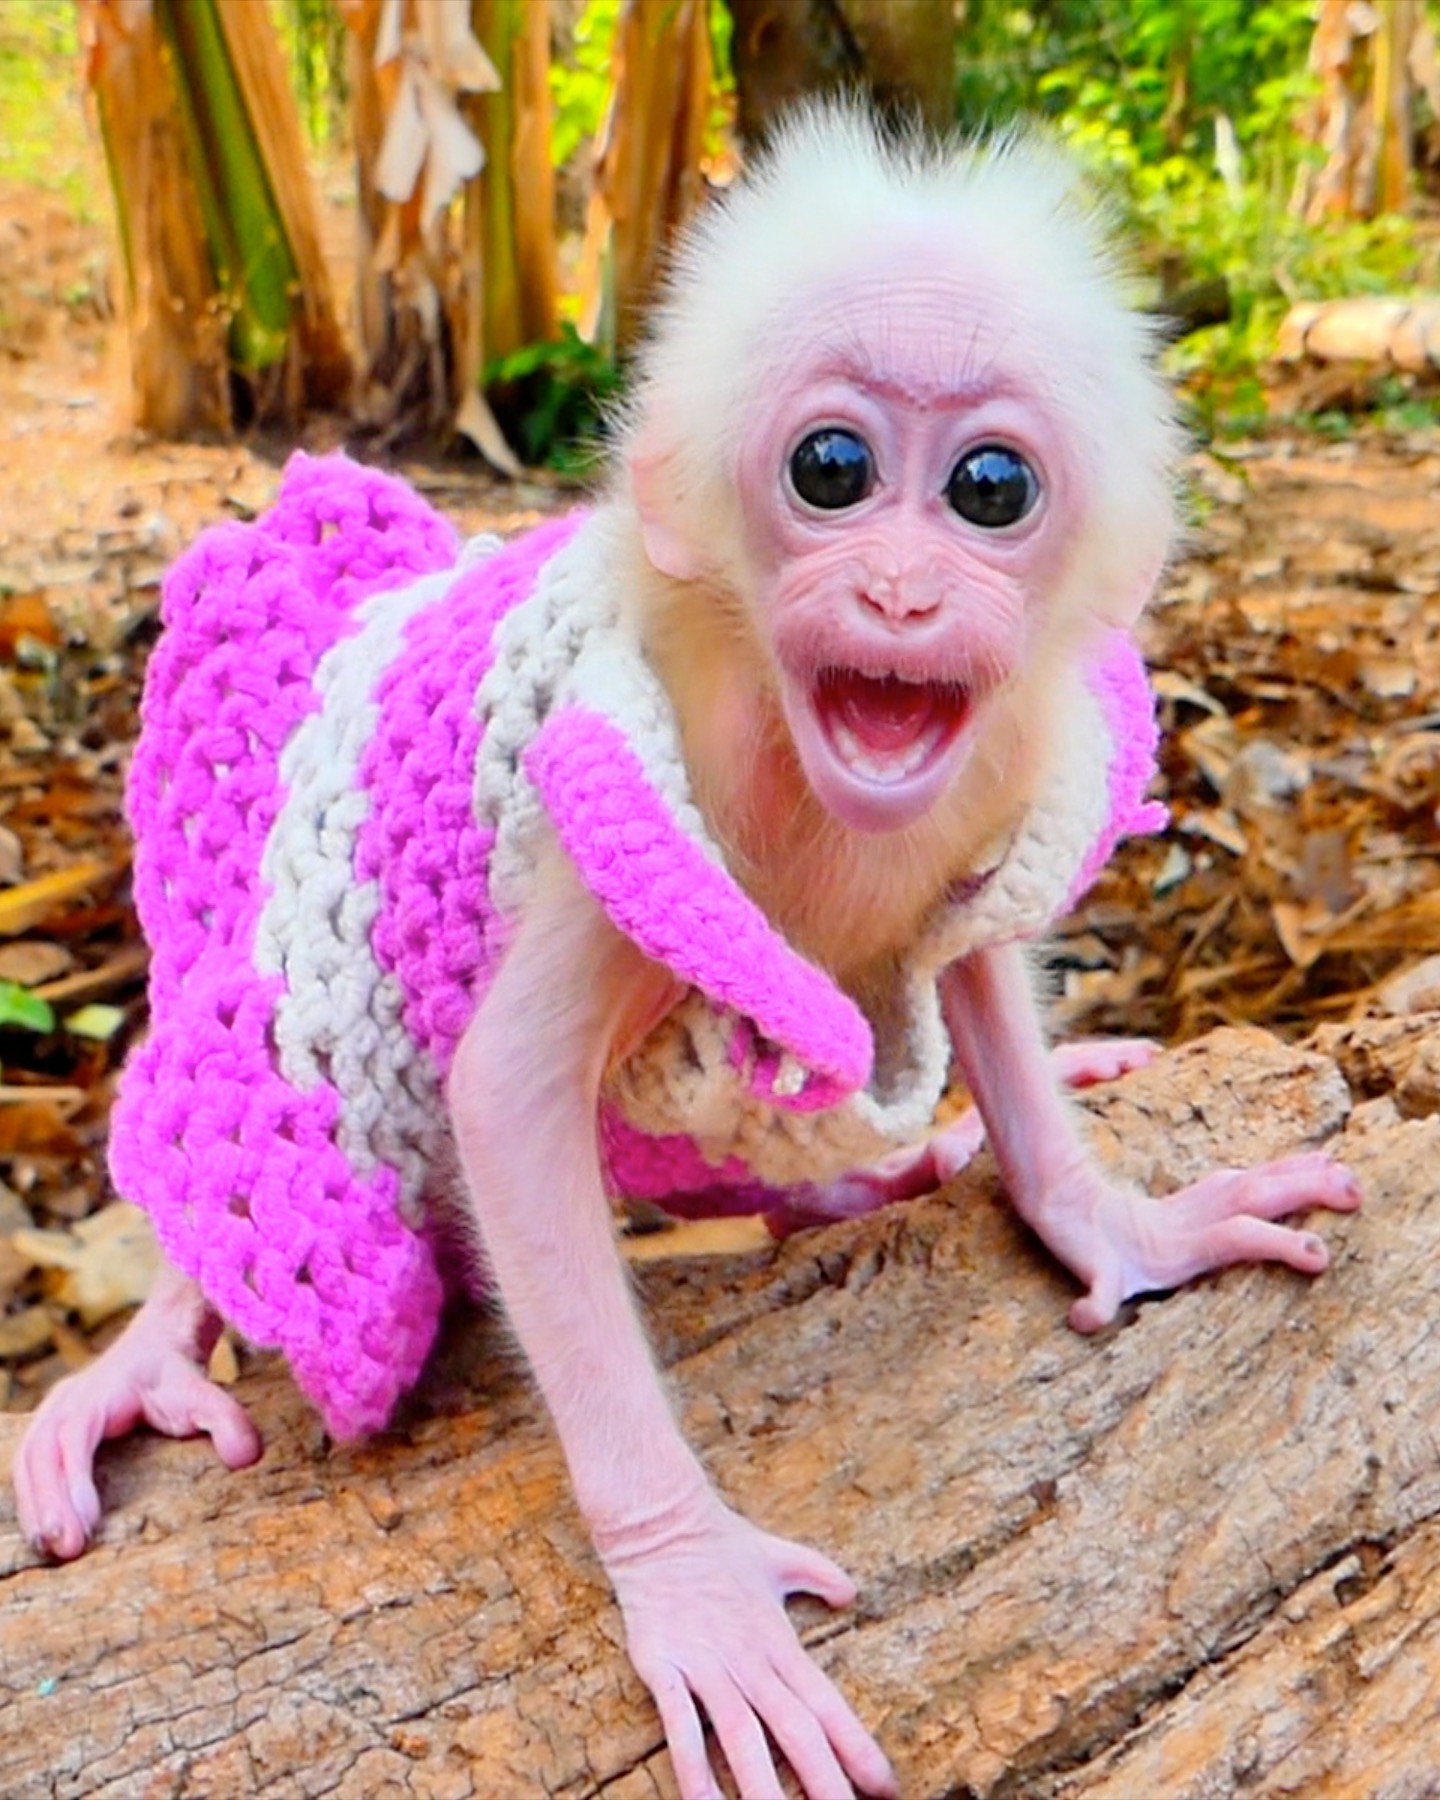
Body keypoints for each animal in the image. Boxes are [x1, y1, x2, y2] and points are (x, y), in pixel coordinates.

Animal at [12, 107, 1360, 1800]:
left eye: (989, 487)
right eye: (832, 469)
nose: (902, 591)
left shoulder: (1006, 776)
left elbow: (979, 973)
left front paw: (1107, 1218)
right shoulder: (625, 783)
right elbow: (507, 1105)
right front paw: (690, 1580)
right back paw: (152, 1344)